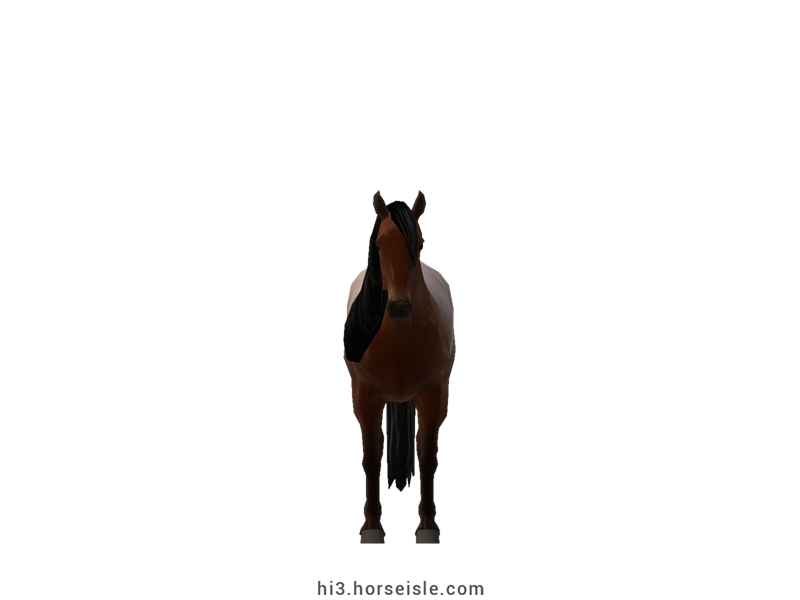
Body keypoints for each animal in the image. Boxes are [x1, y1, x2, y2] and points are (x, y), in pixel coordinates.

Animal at [343, 190, 454, 534]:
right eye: (379, 244)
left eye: (419, 244)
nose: (399, 308)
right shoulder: (366, 399)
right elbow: (371, 460)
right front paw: (371, 525)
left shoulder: (432, 396)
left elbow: (427, 458)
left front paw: (428, 525)